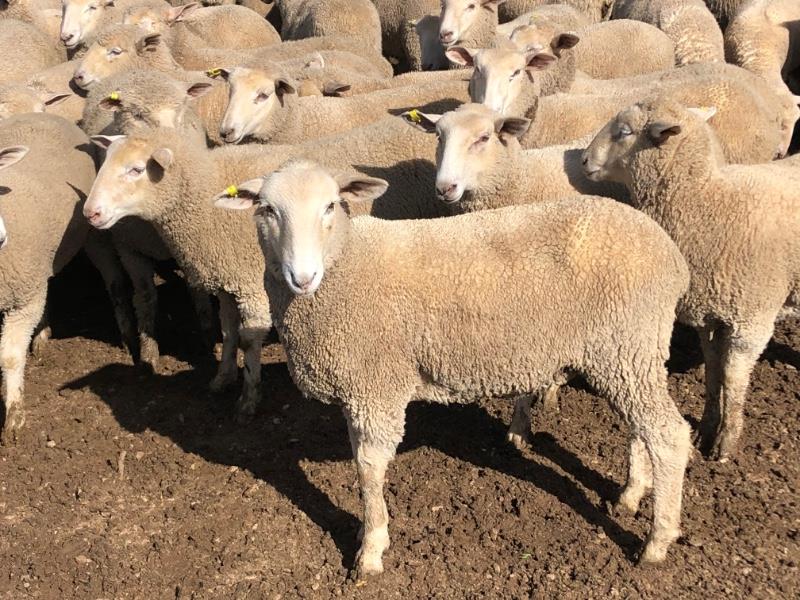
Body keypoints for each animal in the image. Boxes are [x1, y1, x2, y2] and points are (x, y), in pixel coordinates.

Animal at [215, 158, 692, 575]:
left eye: (331, 205)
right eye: (267, 210)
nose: (303, 276)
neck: (345, 263)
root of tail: (671, 254)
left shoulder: (376, 387)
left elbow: (368, 470)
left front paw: (371, 550)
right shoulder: (358, 387)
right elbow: (359, 460)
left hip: (625, 345)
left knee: (669, 436)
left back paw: (656, 542)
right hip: (631, 352)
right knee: (642, 427)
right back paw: (631, 494)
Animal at [582, 96, 800, 461]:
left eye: (624, 132)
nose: (584, 160)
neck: (705, 200)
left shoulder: (752, 319)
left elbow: (733, 379)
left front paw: (726, 444)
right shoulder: (708, 315)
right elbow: (713, 372)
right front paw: (706, 429)